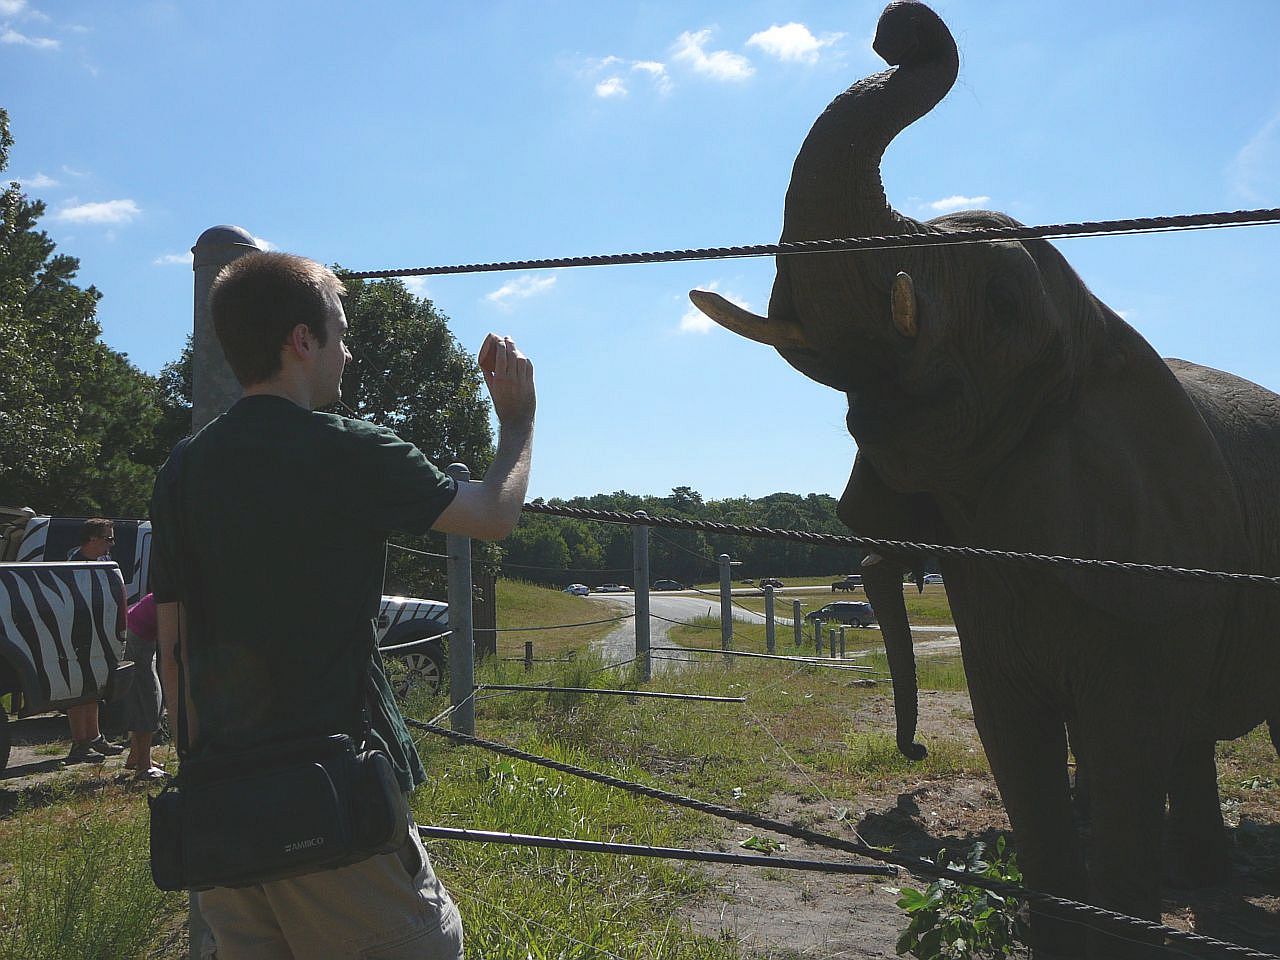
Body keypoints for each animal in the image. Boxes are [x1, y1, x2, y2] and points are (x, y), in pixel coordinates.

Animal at [687, 2, 1280, 956]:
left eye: (1002, 301)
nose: (897, 30)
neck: (1106, 333)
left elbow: (1123, 739)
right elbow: (1013, 737)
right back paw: (1202, 880)